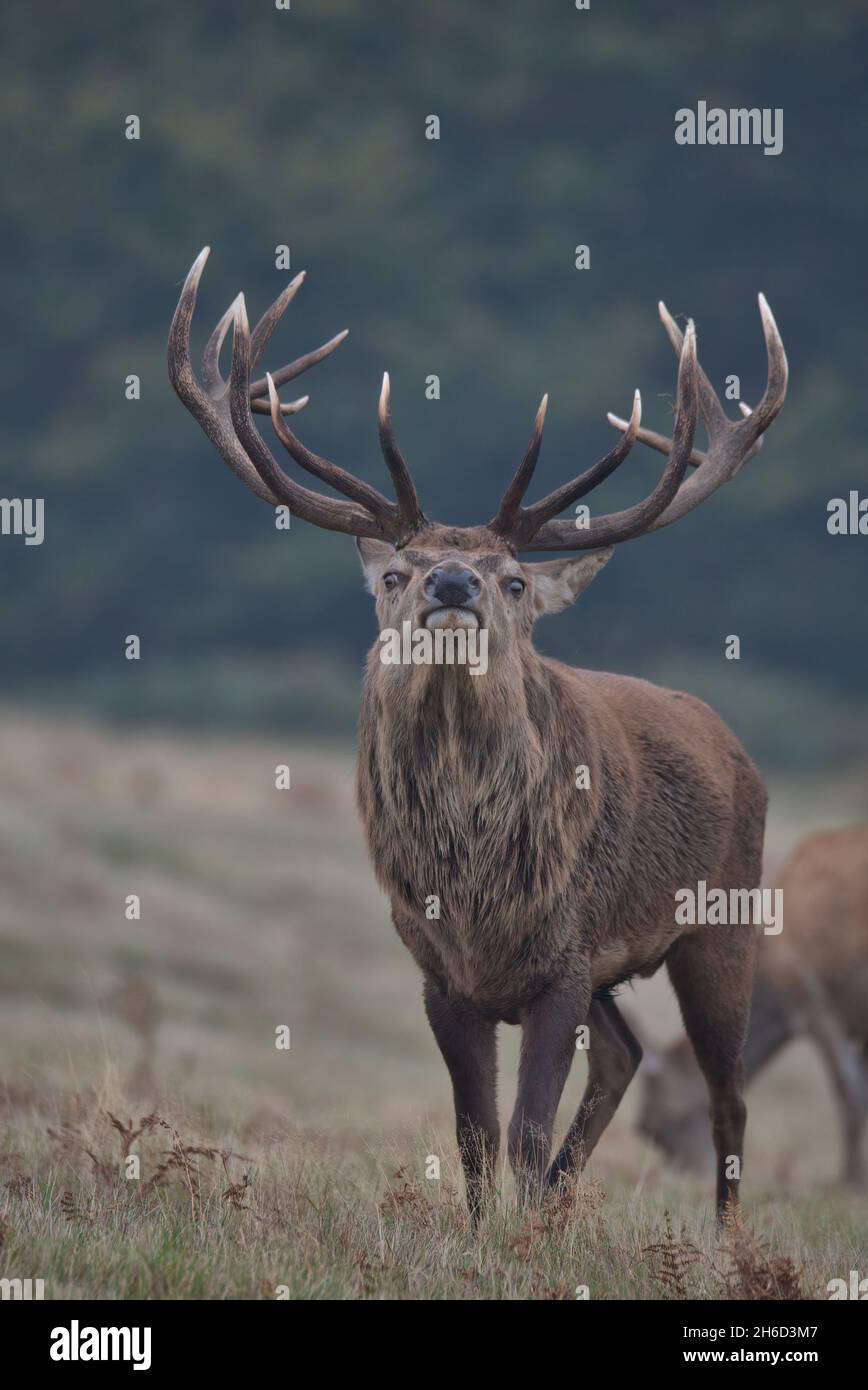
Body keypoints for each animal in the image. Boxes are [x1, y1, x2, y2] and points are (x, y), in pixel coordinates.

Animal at [168, 247, 787, 1219]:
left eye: (515, 580)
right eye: (396, 571)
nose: (453, 581)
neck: (472, 893)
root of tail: (735, 747)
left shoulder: (565, 961)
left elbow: (525, 1132)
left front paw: (513, 1234)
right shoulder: (443, 977)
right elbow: (475, 1136)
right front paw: (487, 1228)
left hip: (724, 921)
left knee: (726, 1097)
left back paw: (721, 1239)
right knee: (624, 1056)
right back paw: (562, 1210)